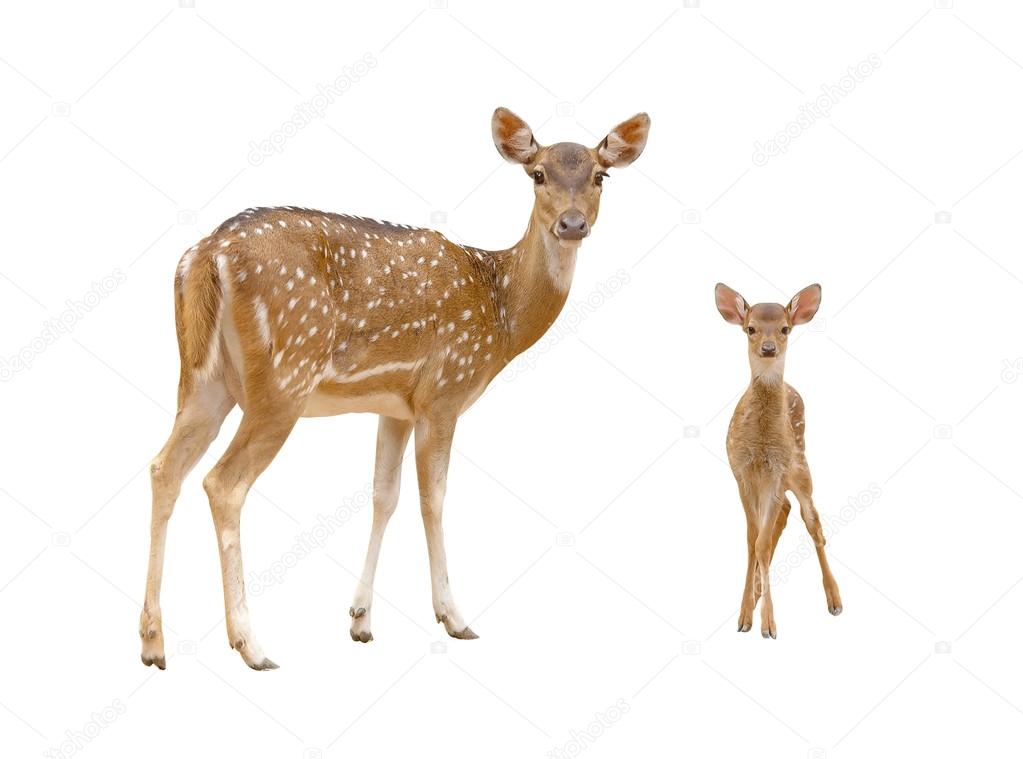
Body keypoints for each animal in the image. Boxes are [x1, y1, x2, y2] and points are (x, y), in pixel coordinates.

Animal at [140, 107, 650, 670]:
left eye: (600, 176)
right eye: (537, 174)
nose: (573, 224)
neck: (499, 311)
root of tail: (206, 255)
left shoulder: (396, 406)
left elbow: (384, 496)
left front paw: (360, 620)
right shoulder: (444, 392)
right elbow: (434, 498)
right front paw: (454, 617)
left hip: (203, 380)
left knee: (164, 468)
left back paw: (153, 643)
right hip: (283, 379)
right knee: (223, 483)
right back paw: (251, 644)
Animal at [714, 283, 843, 639]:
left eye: (785, 329)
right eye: (750, 328)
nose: (769, 348)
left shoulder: (775, 472)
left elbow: (761, 543)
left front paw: (767, 625)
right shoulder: (741, 472)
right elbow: (752, 542)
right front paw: (745, 617)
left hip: (800, 468)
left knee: (813, 524)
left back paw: (834, 600)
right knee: (781, 519)